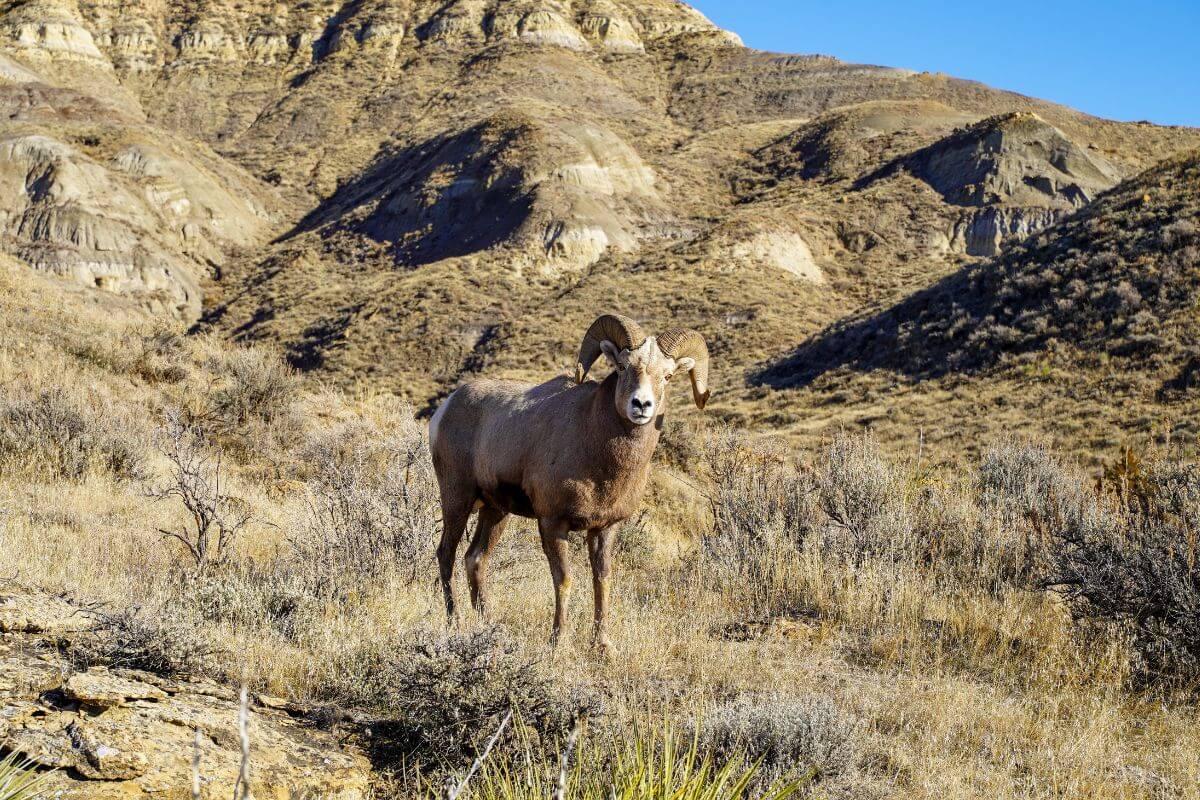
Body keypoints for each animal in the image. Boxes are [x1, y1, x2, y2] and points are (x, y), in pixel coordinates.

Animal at [428, 313, 710, 650]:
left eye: (667, 376)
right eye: (622, 367)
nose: (641, 405)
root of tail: (446, 408)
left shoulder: (604, 529)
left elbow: (601, 581)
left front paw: (603, 645)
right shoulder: (553, 523)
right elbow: (564, 580)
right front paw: (559, 640)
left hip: (496, 512)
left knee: (475, 558)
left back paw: (487, 623)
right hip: (457, 499)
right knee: (446, 554)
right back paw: (455, 622)